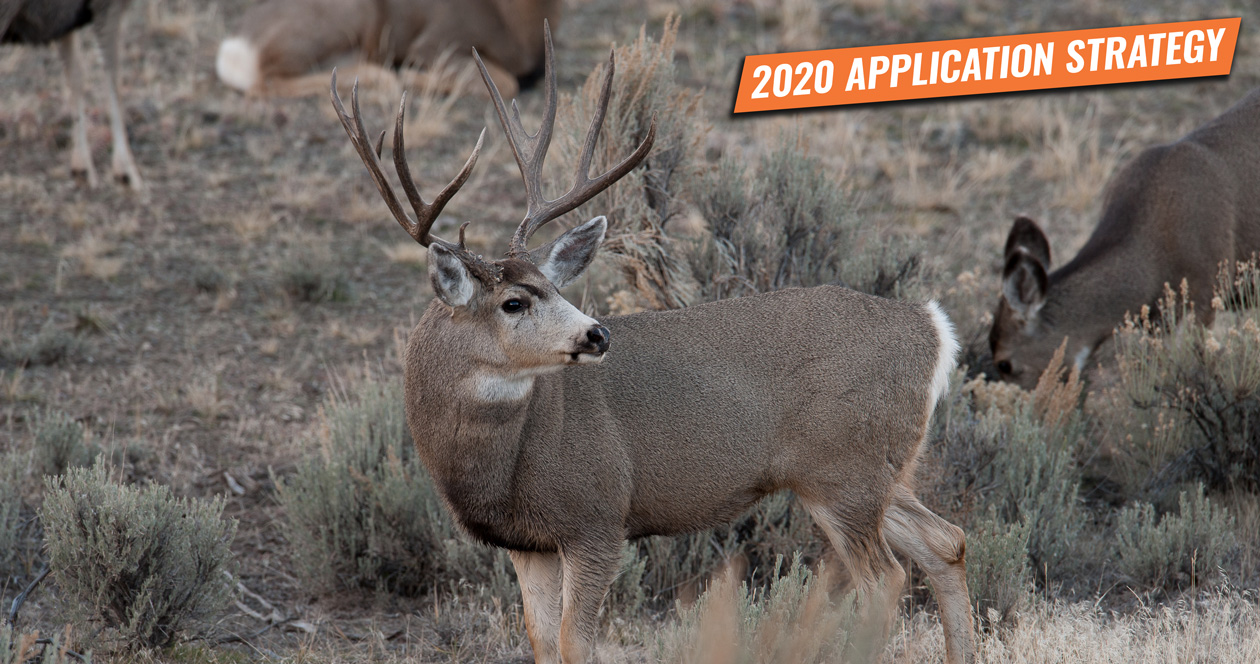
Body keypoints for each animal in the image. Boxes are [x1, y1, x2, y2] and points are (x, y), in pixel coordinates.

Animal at [1, 0, 144, 190]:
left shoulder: (63, 25)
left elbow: (76, 76)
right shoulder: (106, 7)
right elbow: (113, 77)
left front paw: (82, 169)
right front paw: (126, 173)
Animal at [330, 21, 974, 664]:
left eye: (550, 288)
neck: (500, 462)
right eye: (515, 302)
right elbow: (541, 640)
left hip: (843, 471)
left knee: (886, 579)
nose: (596, 332)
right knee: (947, 540)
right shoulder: (527, 543)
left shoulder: (597, 516)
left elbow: (574, 642)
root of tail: (930, 328)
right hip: (877, 470)